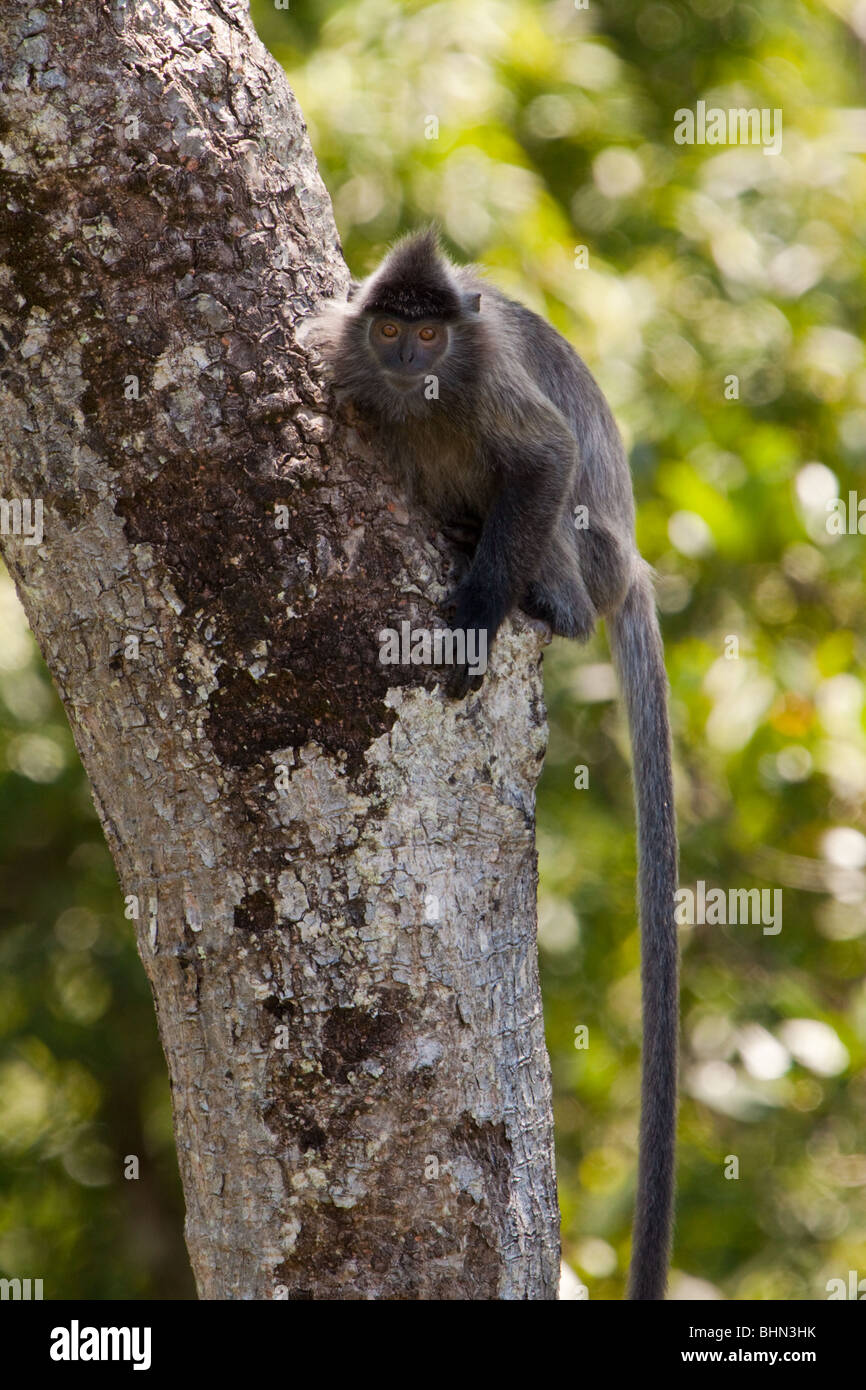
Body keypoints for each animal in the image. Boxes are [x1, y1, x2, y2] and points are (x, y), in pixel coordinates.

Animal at [300, 228, 678, 1301]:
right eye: (392, 330)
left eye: (431, 333)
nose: (412, 363)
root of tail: (631, 570)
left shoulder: (486, 379)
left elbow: (544, 458)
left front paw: (474, 617)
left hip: (586, 551)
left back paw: (546, 602)